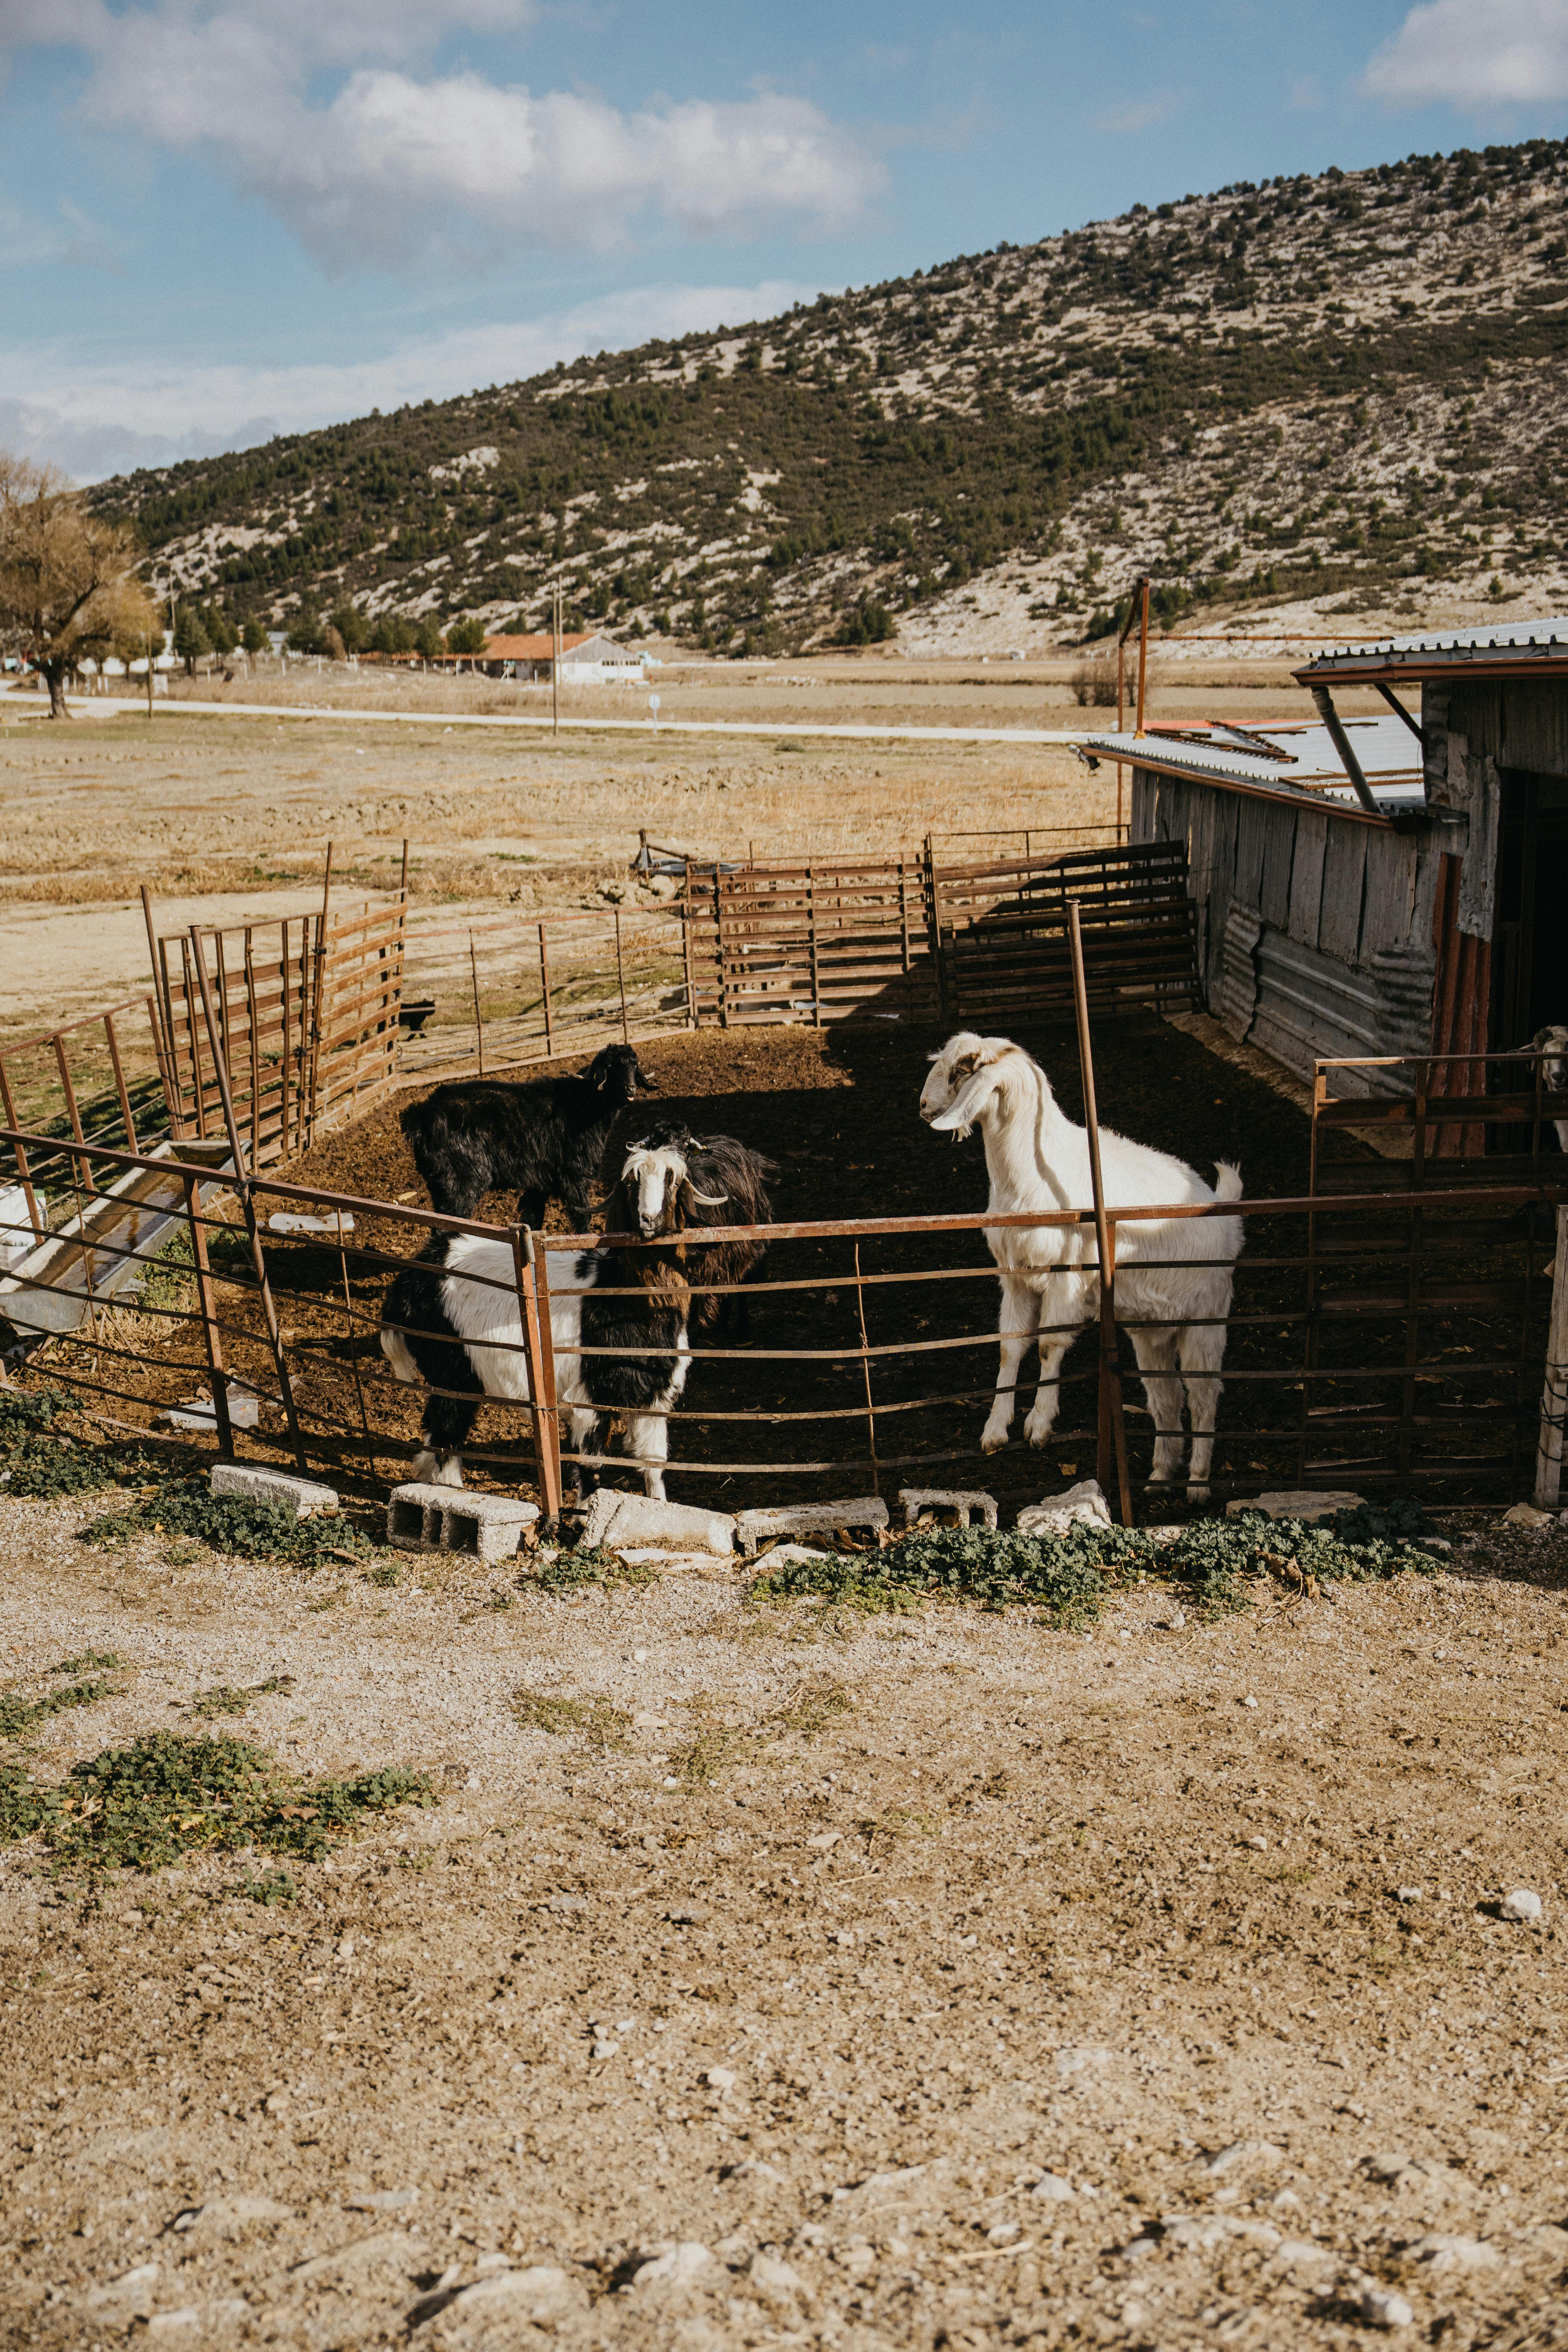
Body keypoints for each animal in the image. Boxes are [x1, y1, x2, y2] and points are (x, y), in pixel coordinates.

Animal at [379, 1134, 726, 1502]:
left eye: (672, 1181)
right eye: (632, 1182)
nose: (648, 1220)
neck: (627, 1296)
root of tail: (409, 1280)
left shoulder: (655, 1395)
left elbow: (654, 1463)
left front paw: (658, 1506)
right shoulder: (589, 1396)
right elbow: (592, 1467)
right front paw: (587, 1512)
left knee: (435, 1432)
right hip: (453, 1372)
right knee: (447, 1432)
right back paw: (450, 1493)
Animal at [399, 1042, 659, 1226]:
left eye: (634, 1065)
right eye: (611, 1066)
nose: (631, 1090)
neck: (581, 1105)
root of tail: (422, 1115)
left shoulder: (539, 1184)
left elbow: (533, 1220)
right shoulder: (574, 1178)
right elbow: (582, 1218)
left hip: (439, 1184)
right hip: (461, 1183)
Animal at [919, 1032, 1244, 1500]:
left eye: (960, 1072)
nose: (923, 1106)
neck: (1032, 1171)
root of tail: (1226, 1214)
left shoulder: (1067, 1277)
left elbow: (1049, 1345)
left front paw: (1039, 1424)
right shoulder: (1015, 1277)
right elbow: (1010, 1347)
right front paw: (996, 1429)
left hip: (1206, 1318)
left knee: (1204, 1397)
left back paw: (1198, 1484)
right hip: (1152, 1328)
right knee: (1166, 1396)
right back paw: (1161, 1477)